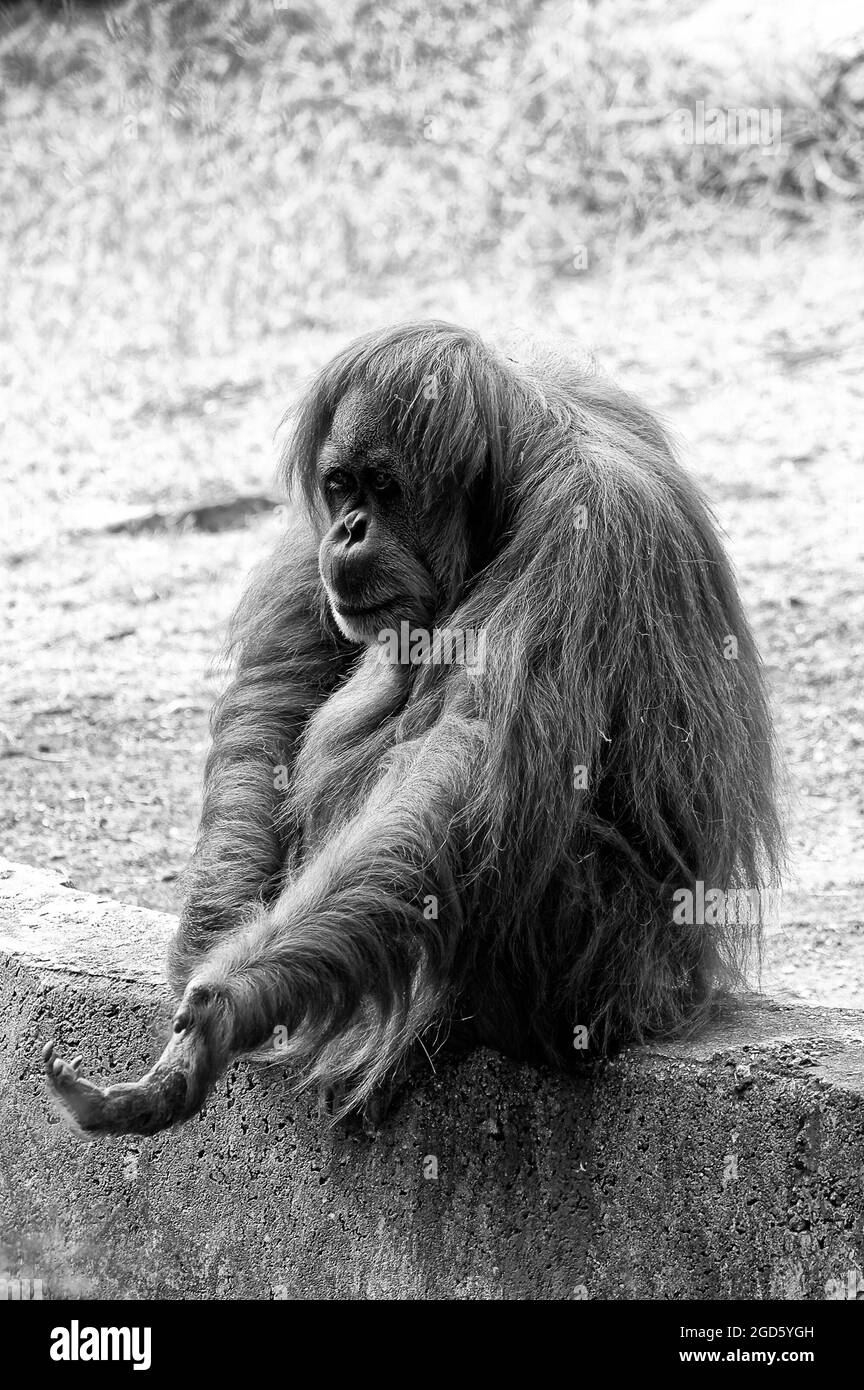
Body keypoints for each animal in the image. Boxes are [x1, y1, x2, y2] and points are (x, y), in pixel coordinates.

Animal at [44, 320, 782, 1137]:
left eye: (385, 487)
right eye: (340, 486)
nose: (348, 532)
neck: (506, 494)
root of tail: (677, 988)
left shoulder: (580, 530)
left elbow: (463, 769)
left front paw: (226, 1010)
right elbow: (282, 680)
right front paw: (212, 948)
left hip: (595, 968)